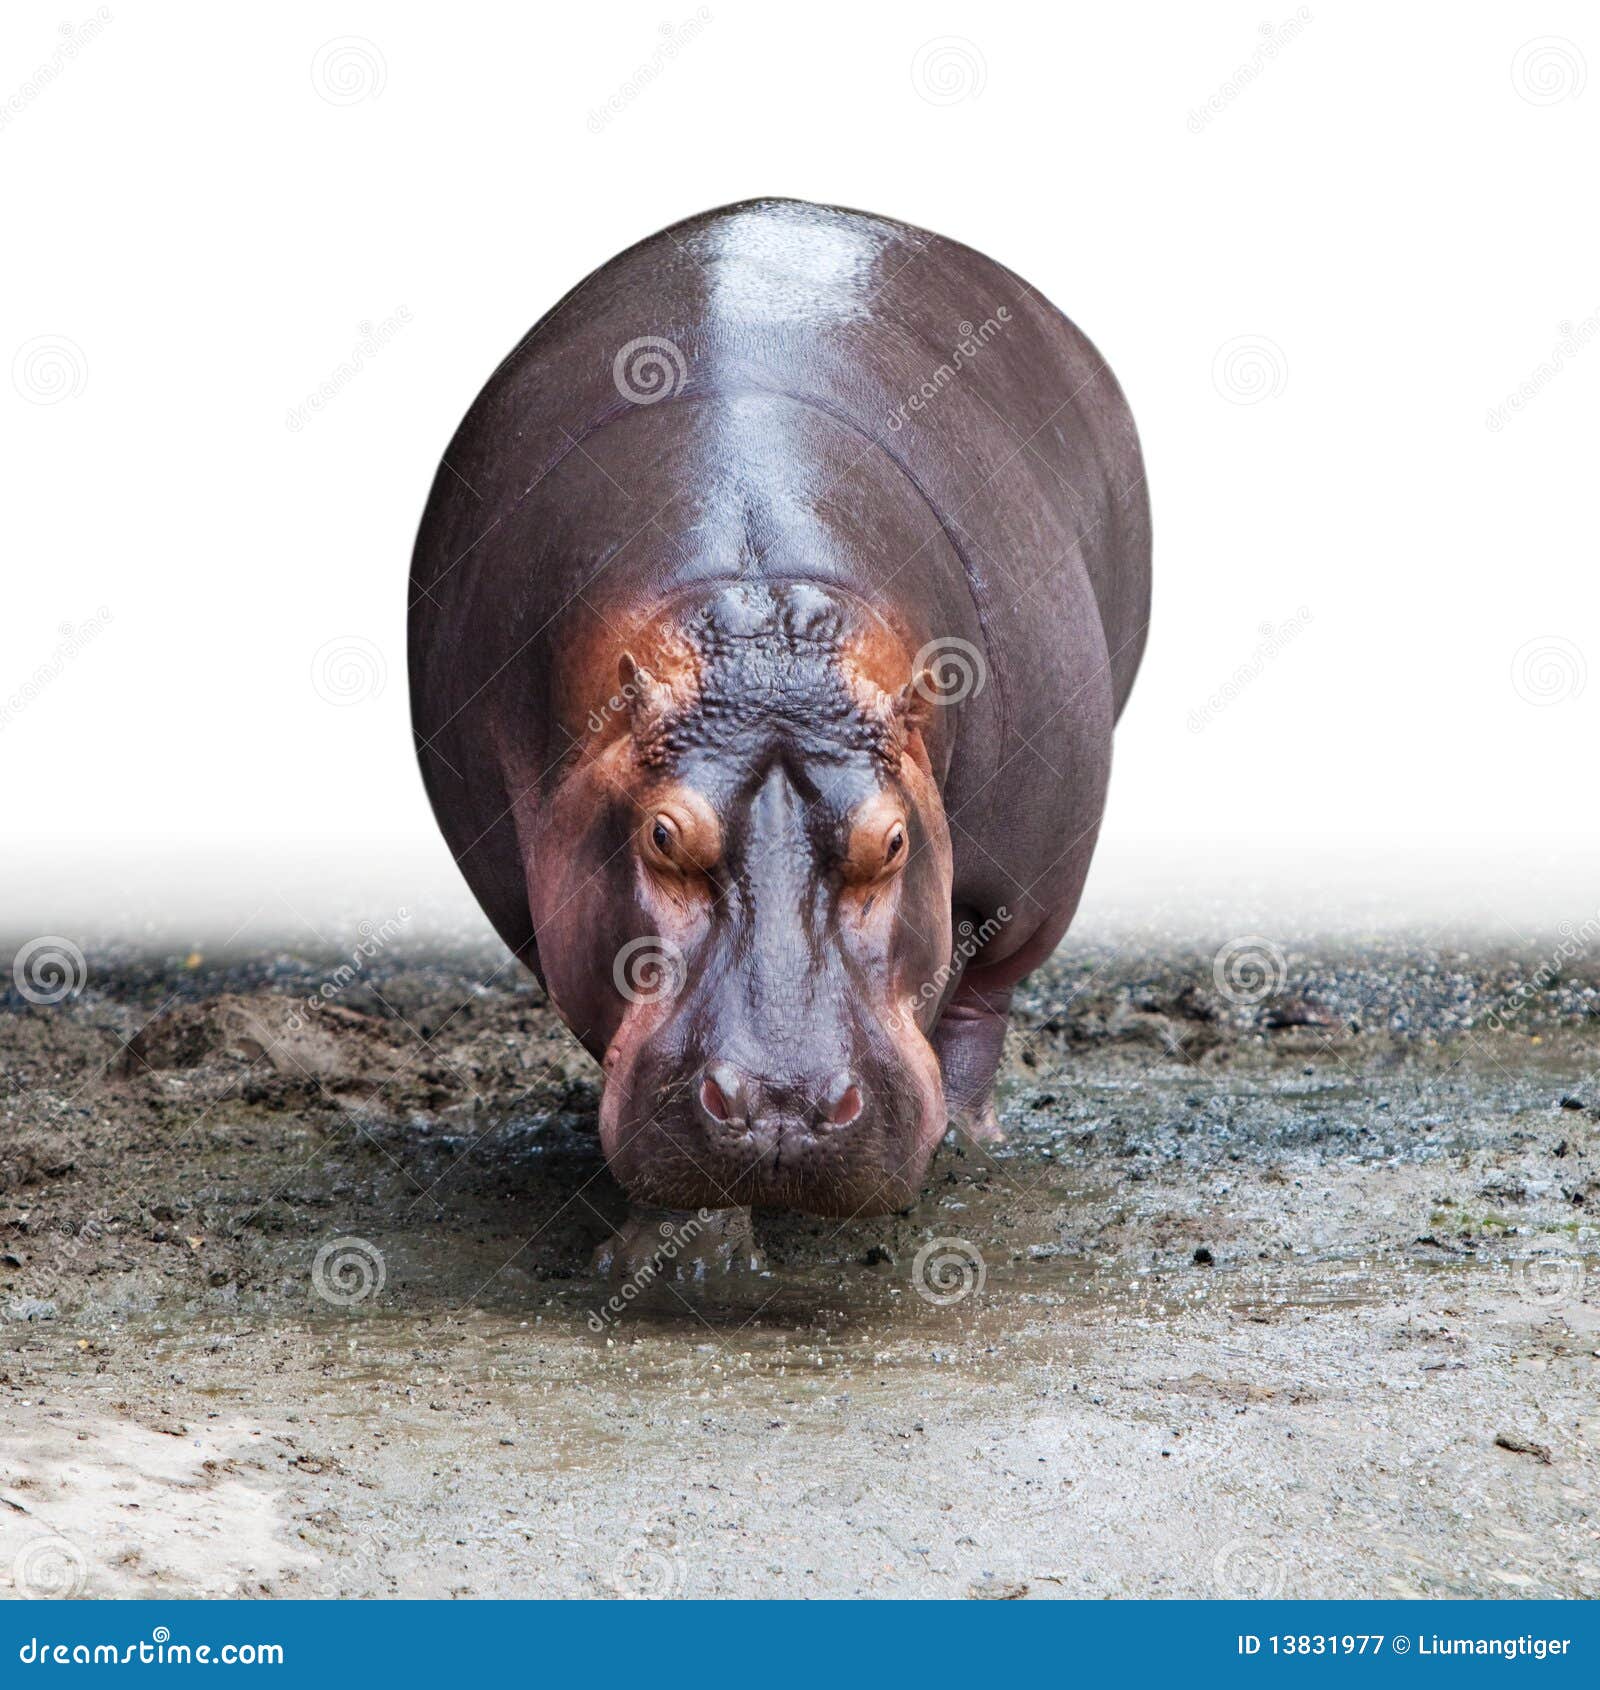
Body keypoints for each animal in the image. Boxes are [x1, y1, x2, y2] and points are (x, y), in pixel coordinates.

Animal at [409, 199, 1149, 1274]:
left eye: (893, 840)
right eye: (661, 835)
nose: (783, 1109)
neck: (762, 625)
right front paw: (675, 1252)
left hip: (1040, 871)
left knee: (985, 995)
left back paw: (974, 1140)